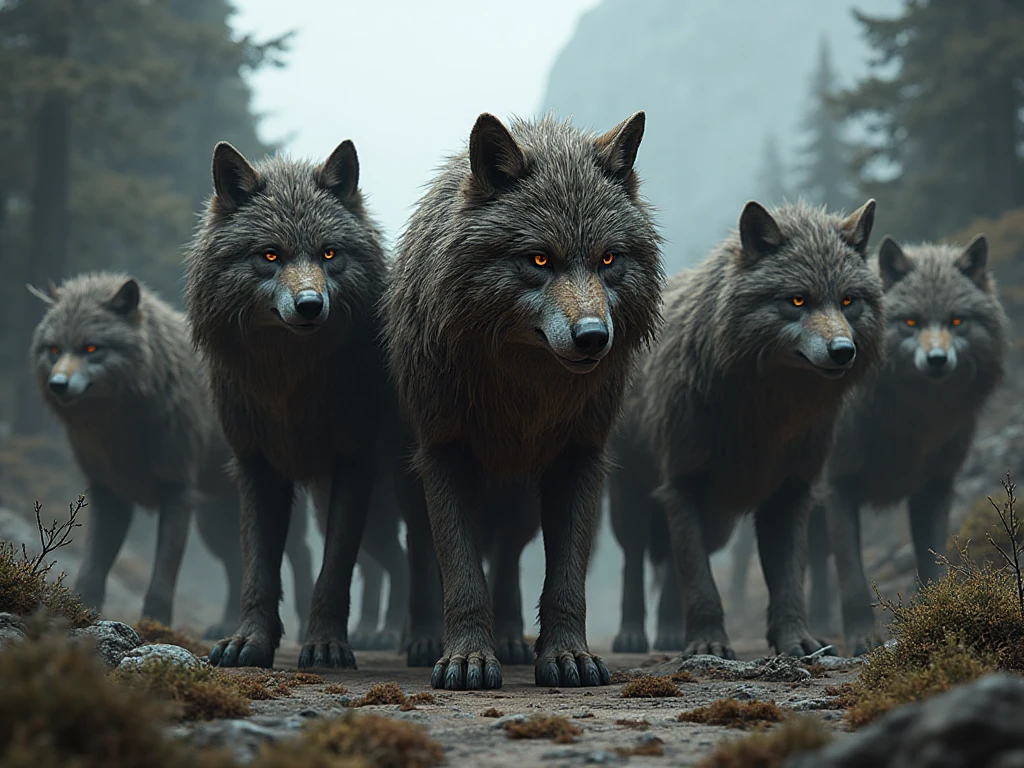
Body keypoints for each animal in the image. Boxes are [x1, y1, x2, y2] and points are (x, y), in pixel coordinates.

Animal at [28, 273, 315, 634]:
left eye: (91, 348)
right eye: (54, 350)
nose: (58, 384)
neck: (120, 429)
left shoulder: (177, 494)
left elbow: (163, 573)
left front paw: (155, 624)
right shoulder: (109, 495)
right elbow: (93, 565)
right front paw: (78, 612)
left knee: (303, 556)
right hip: (214, 526)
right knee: (239, 564)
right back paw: (227, 626)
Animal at [186, 139, 388, 670]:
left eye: (329, 253)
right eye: (270, 254)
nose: (310, 304)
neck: (290, 387)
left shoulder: (355, 464)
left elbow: (334, 571)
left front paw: (326, 645)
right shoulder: (257, 466)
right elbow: (258, 569)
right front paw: (250, 641)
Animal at [384, 111, 664, 690]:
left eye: (608, 258)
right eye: (539, 258)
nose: (593, 337)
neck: (523, 397)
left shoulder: (580, 456)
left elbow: (567, 580)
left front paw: (568, 657)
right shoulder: (444, 452)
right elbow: (461, 573)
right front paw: (466, 659)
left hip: (518, 501)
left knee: (509, 557)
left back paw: (513, 640)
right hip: (411, 481)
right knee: (423, 552)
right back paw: (422, 641)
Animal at [637, 199, 886, 659]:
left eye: (848, 301)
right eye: (797, 300)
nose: (843, 351)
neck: (766, 417)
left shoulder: (791, 492)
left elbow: (788, 580)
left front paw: (798, 641)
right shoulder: (681, 485)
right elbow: (700, 580)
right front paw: (708, 644)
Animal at [820, 234, 1008, 655]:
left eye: (957, 320)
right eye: (910, 322)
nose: (937, 359)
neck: (912, 427)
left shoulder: (934, 489)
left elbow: (932, 567)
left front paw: (937, 618)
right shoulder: (837, 488)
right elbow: (852, 578)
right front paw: (862, 639)